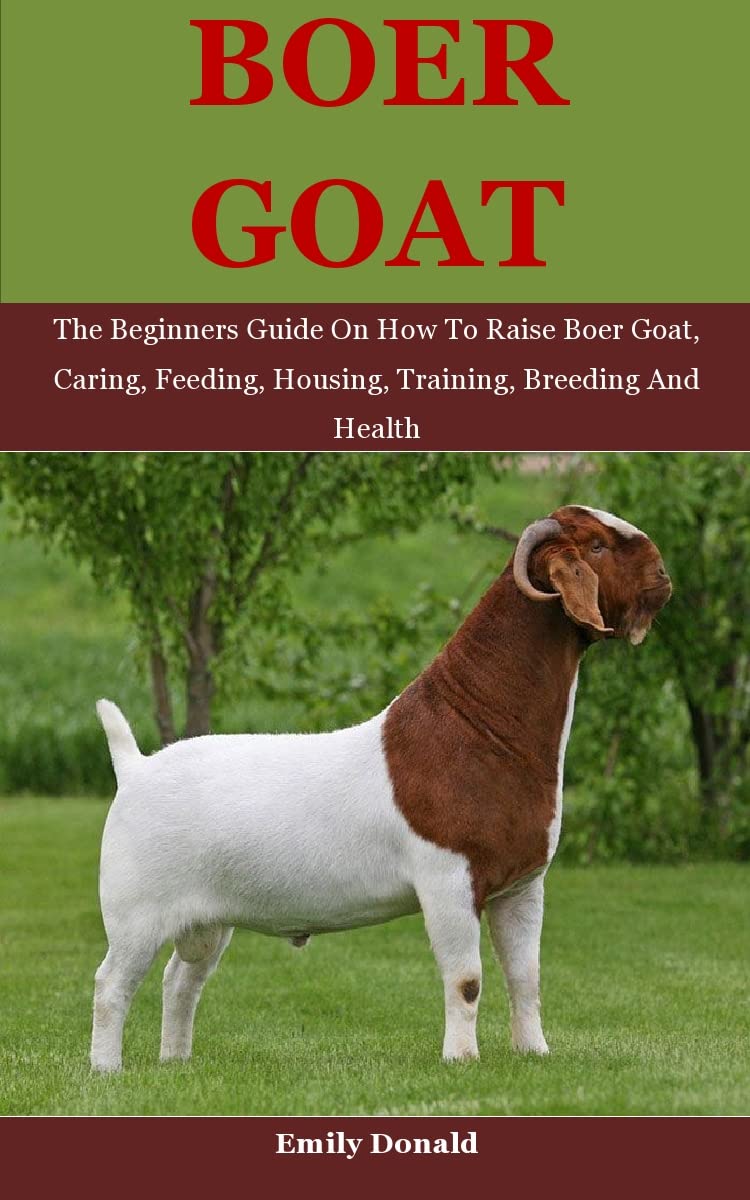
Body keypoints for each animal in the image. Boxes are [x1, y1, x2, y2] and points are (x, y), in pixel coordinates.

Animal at [91, 505, 671, 1072]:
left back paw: (176, 1062)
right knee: (110, 985)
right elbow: (466, 979)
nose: (663, 576)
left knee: (180, 981)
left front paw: (534, 1053)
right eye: (596, 545)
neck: (476, 728)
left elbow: (526, 978)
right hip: (136, 912)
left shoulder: (522, 886)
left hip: (208, 920)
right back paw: (106, 1069)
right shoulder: (448, 880)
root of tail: (135, 767)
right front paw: (461, 1059)